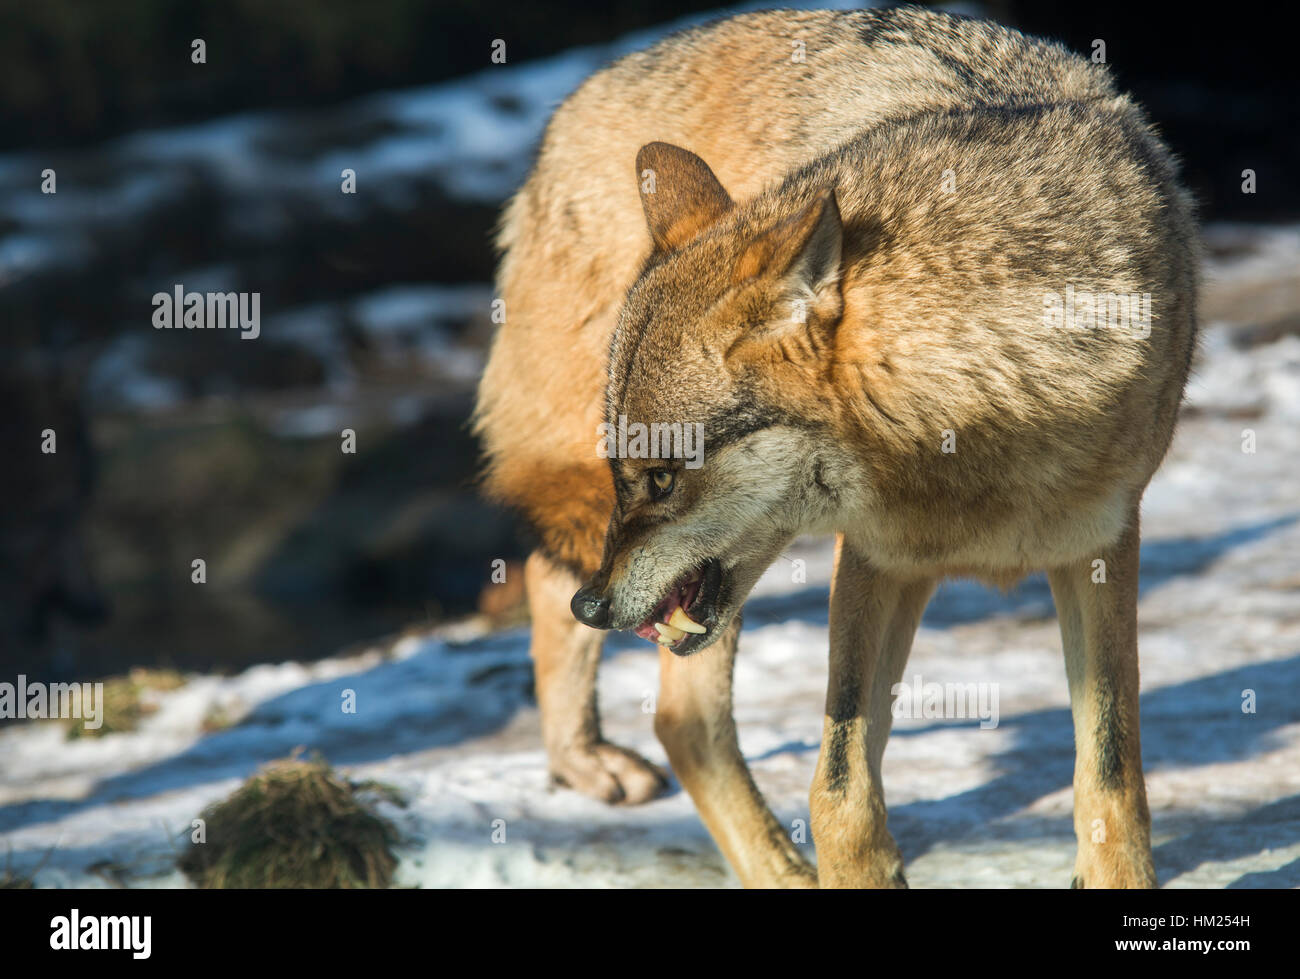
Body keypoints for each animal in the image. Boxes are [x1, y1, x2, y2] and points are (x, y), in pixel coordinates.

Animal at [473, 6, 1198, 888]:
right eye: (634, 474)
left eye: (662, 477)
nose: (599, 607)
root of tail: (574, 103)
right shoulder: (875, 559)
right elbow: (839, 791)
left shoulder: (1100, 547)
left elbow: (1112, 775)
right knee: (671, 705)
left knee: (585, 617)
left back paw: (586, 759)